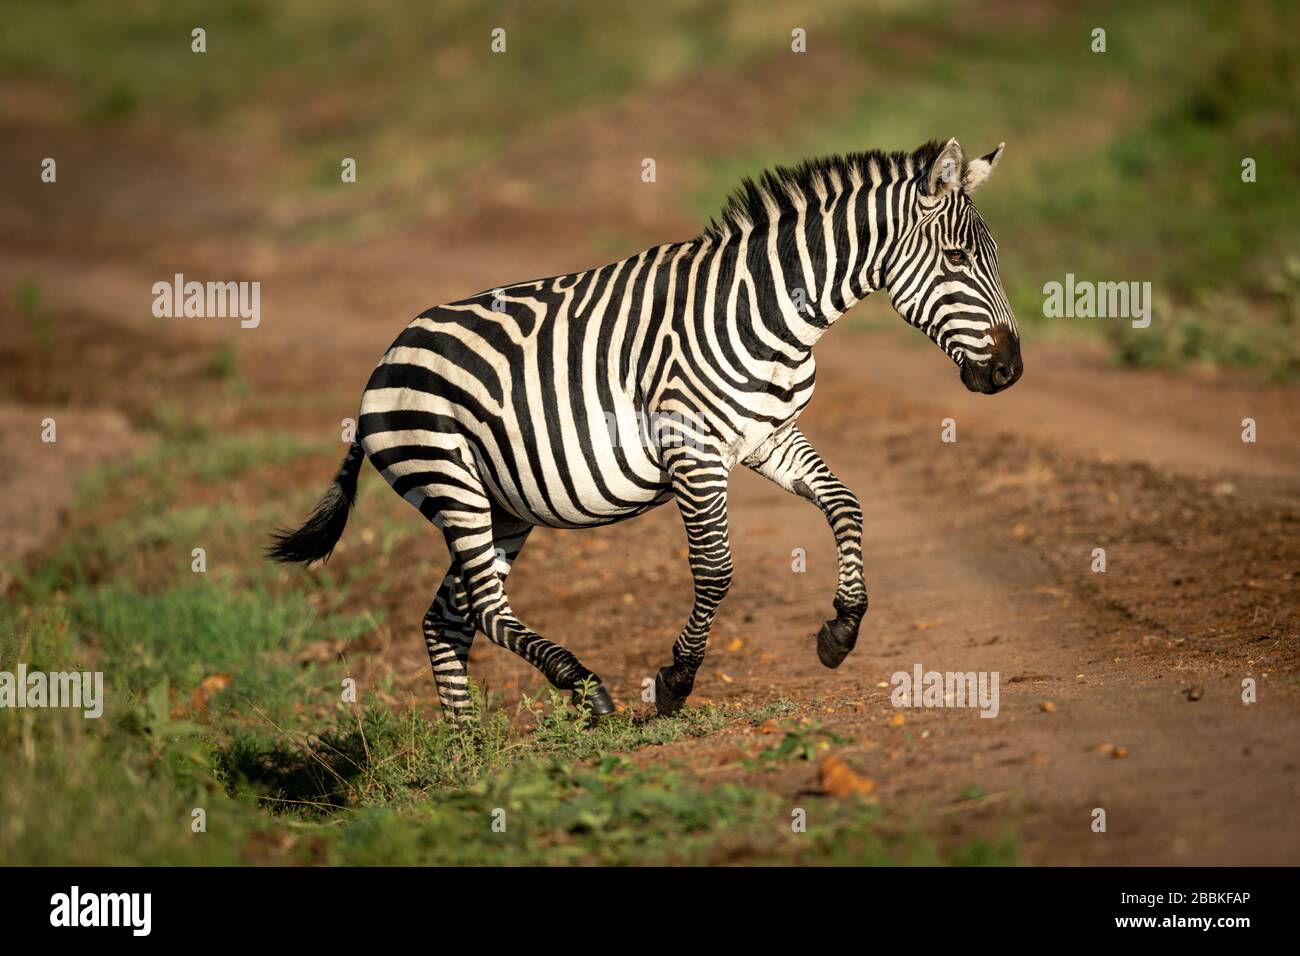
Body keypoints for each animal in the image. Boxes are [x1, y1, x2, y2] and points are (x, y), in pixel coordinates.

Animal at [269, 137, 1022, 721]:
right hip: (447, 478)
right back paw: (583, 687)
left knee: (449, 617)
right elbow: (716, 571)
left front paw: (840, 628)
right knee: (482, 606)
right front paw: (674, 682)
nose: (1011, 370)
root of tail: (388, 355)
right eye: (959, 260)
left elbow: (846, 505)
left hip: (500, 502)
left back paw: (468, 754)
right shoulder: (693, 451)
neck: (772, 313)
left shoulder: (768, 438)